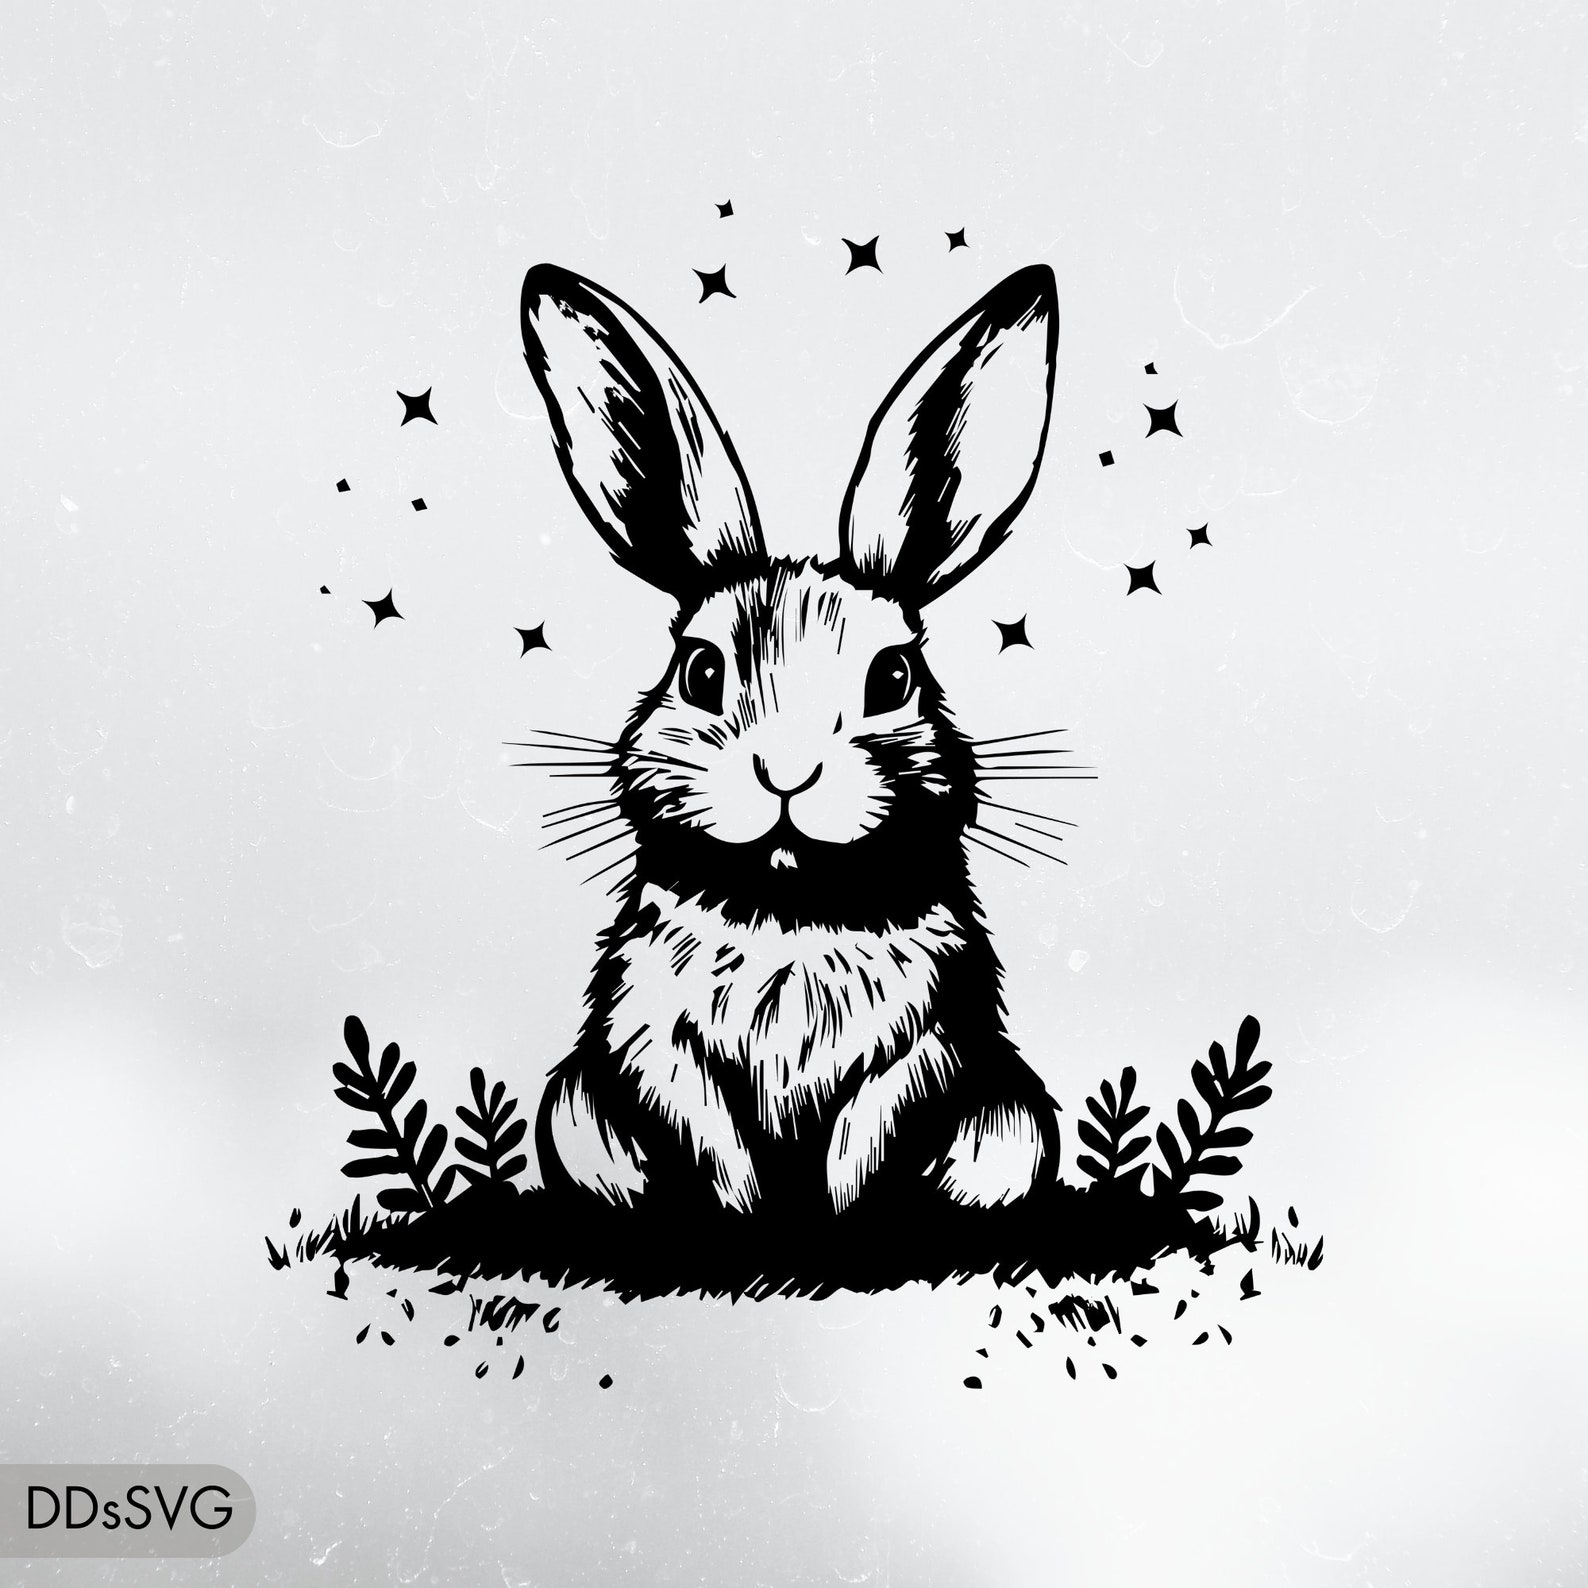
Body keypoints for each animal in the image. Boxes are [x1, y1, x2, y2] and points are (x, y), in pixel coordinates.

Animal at [520, 260, 1064, 1217]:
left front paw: (836, 1213)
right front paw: (746, 1210)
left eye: (894, 678)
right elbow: (706, 1126)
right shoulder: (648, 1030)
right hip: (573, 1111)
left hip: (1013, 1126)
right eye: (701, 671)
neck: (792, 915)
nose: (785, 771)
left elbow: (866, 1132)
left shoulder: (933, 1040)